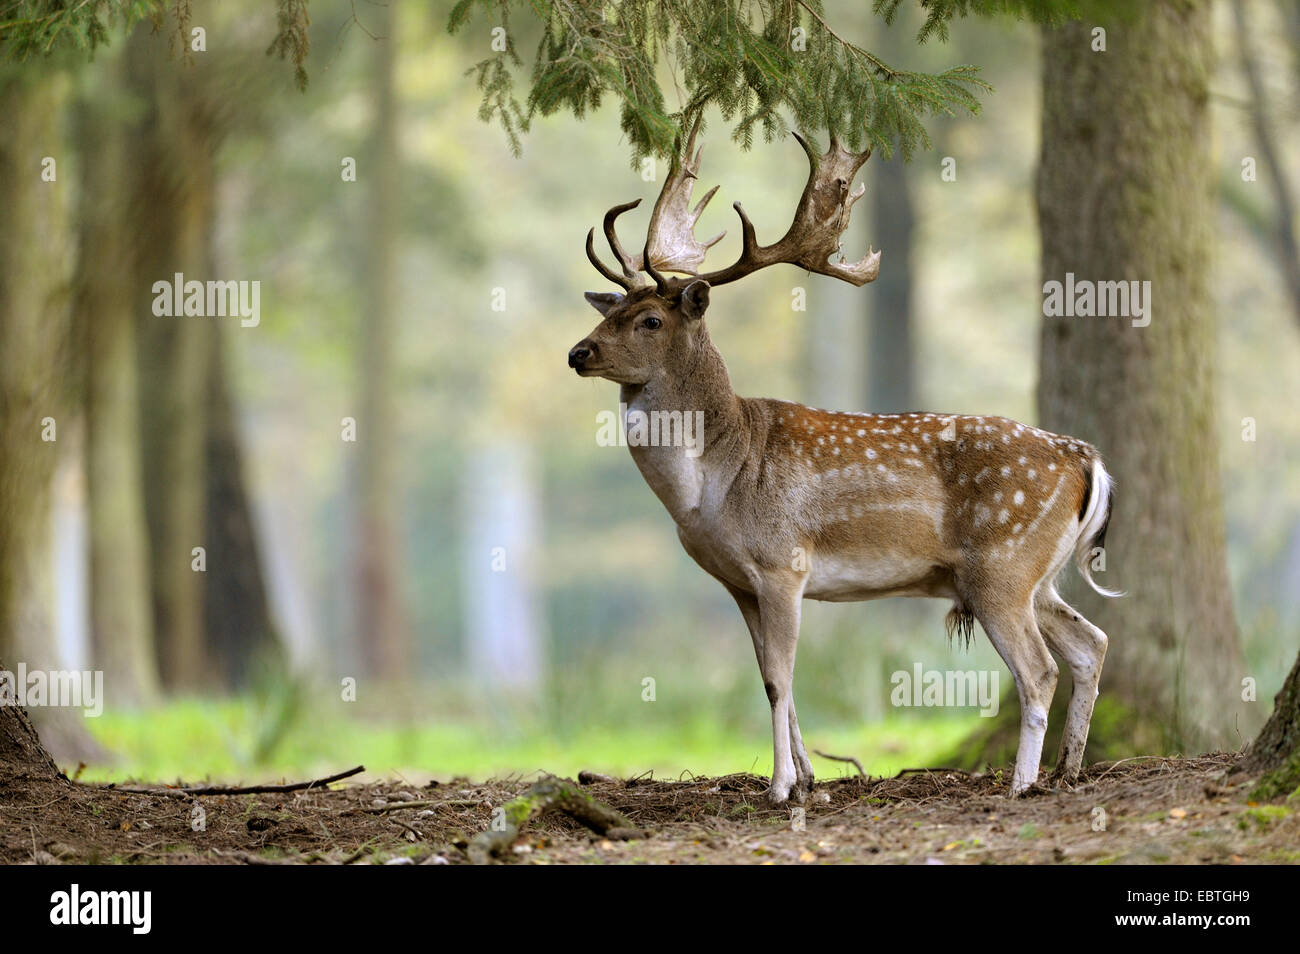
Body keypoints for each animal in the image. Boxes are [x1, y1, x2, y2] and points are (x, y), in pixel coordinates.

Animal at [567, 117, 1119, 805]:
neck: (711, 485)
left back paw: (1021, 783)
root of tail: (1086, 459)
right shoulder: (737, 581)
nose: (578, 353)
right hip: (1035, 574)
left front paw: (781, 789)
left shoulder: (782, 562)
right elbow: (770, 677)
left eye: (647, 320)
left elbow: (779, 678)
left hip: (1004, 565)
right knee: (1090, 643)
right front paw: (809, 780)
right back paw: (1069, 769)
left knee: (1040, 668)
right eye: (608, 310)